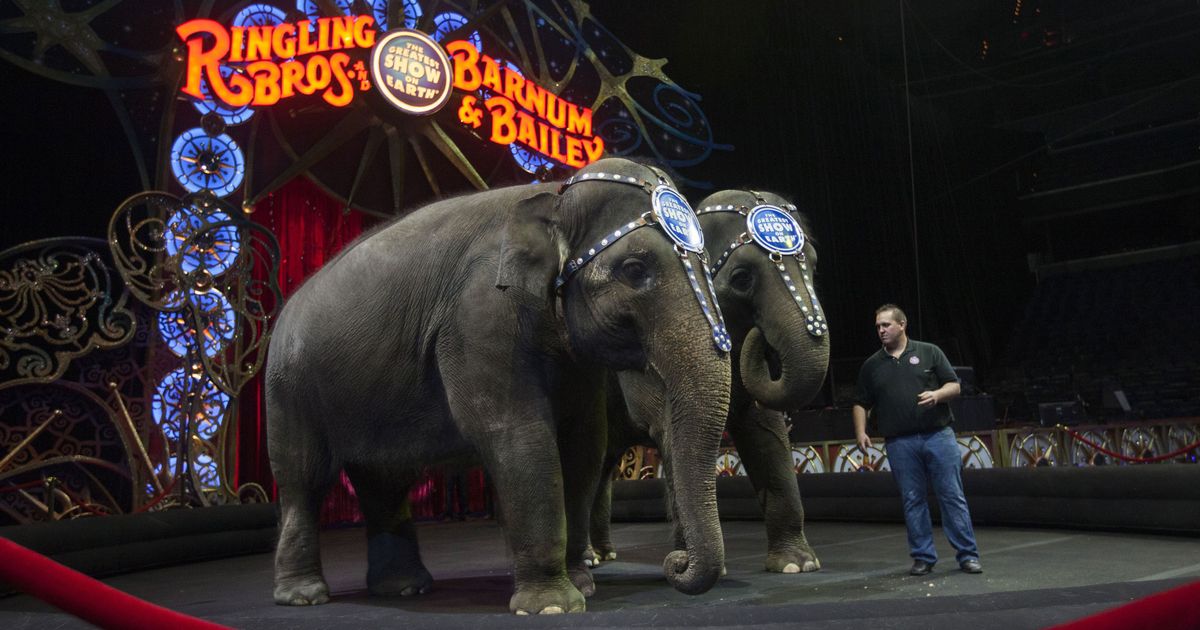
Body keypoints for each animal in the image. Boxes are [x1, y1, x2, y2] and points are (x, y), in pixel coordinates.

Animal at [265, 158, 732, 614]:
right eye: (635, 270)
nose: (676, 563)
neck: (555, 196)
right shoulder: (479, 316)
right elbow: (518, 434)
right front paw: (552, 607)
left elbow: (583, 442)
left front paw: (581, 584)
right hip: (288, 389)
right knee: (303, 480)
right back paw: (303, 595)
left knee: (386, 481)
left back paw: (403, 588)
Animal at [587, 189, 829, 575]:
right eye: (742, 278)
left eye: (814, 266)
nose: (760, 337)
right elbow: (668, 428)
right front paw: (691, 562)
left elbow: (766, 430)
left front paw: (798, 565)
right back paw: (590, 557)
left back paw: (603, 554)